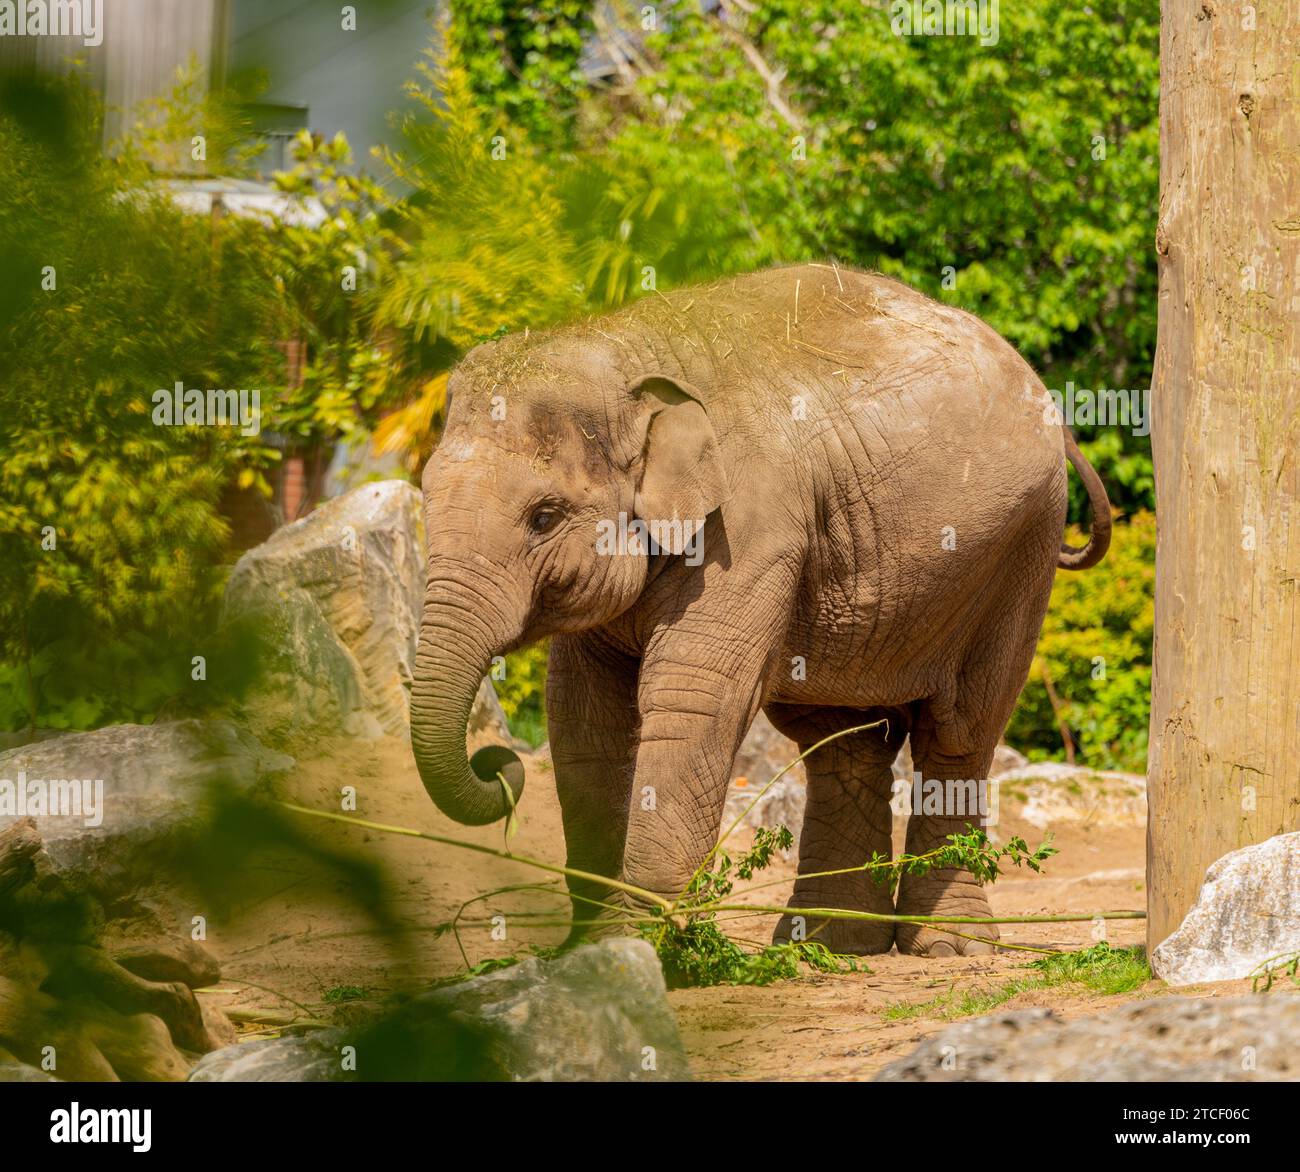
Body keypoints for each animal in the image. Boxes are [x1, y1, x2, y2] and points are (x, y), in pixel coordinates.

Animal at [409, 263, 1111, 957]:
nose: (498, 766)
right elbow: (583, 711)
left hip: (1022, 548)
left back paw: (947, 946)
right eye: (425, 493)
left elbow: (692, 697)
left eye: (544, 517)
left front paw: (646, 944)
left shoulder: (749, 530)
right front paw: (593, 949)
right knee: (843, 738)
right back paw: (829, 944)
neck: (624, 348)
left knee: (960, 732)